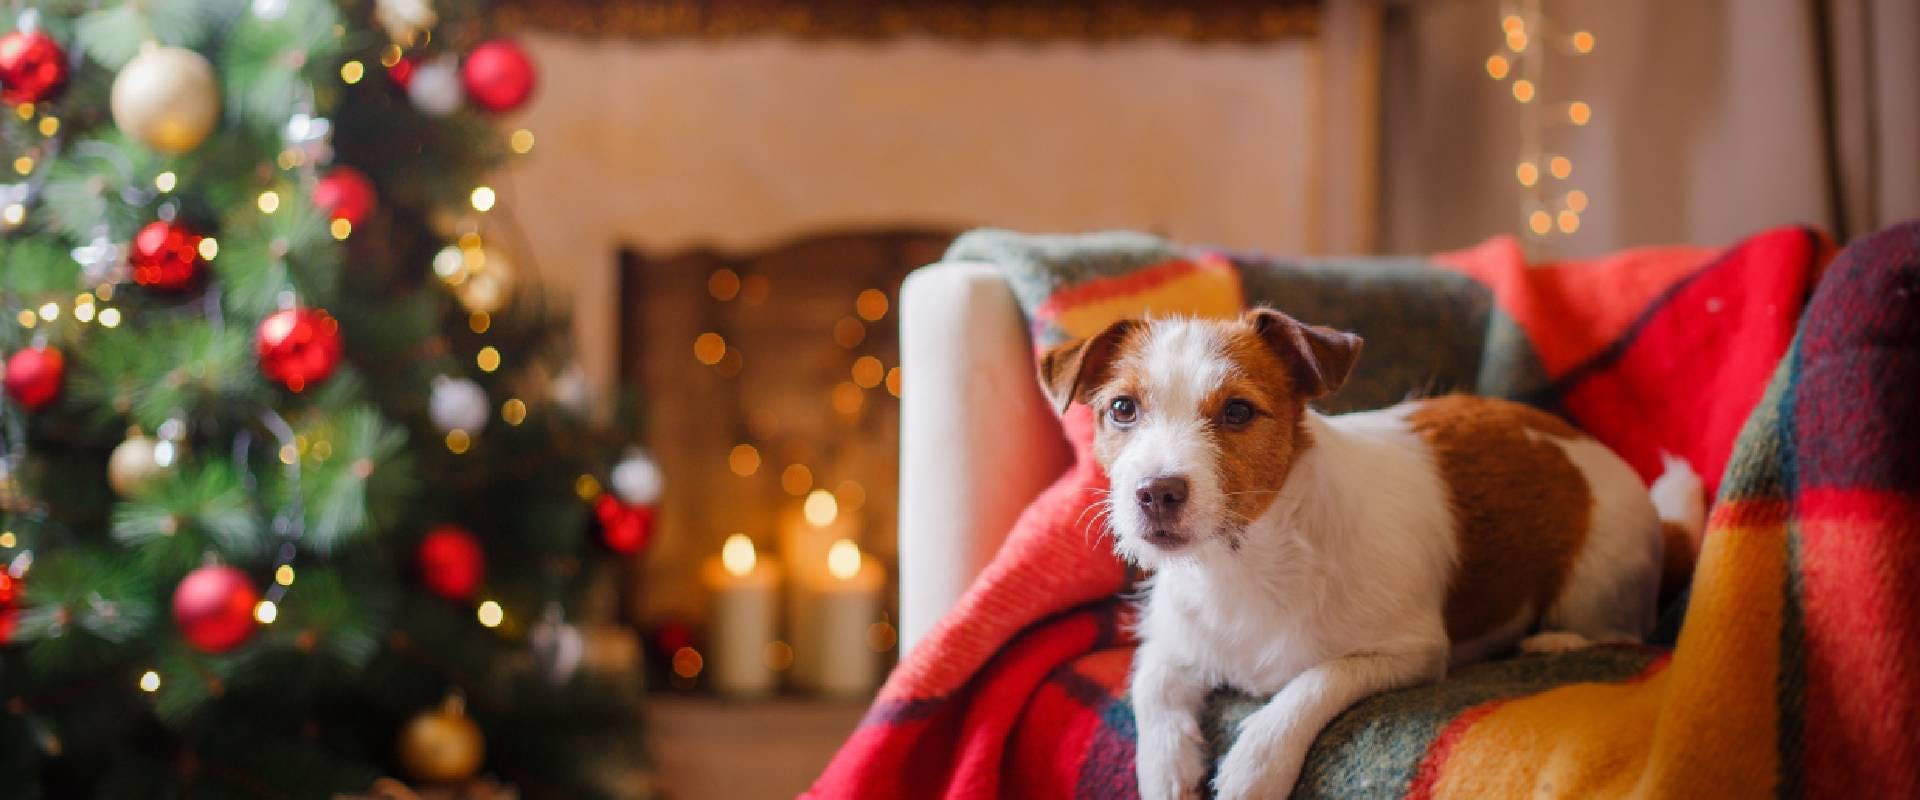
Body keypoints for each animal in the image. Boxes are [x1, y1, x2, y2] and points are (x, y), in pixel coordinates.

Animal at [1044, 306, 1704, 798]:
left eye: (1237, 411)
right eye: (1122, 409)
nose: (1155, 492)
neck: (1243, 563)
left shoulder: (1410, 652)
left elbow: (1315, 681)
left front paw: (1256, 764)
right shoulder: (1175, 641)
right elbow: (1151, 685)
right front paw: (1166, 768)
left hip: (1599, 579)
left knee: (1621, 631)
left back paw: (1555, 641)